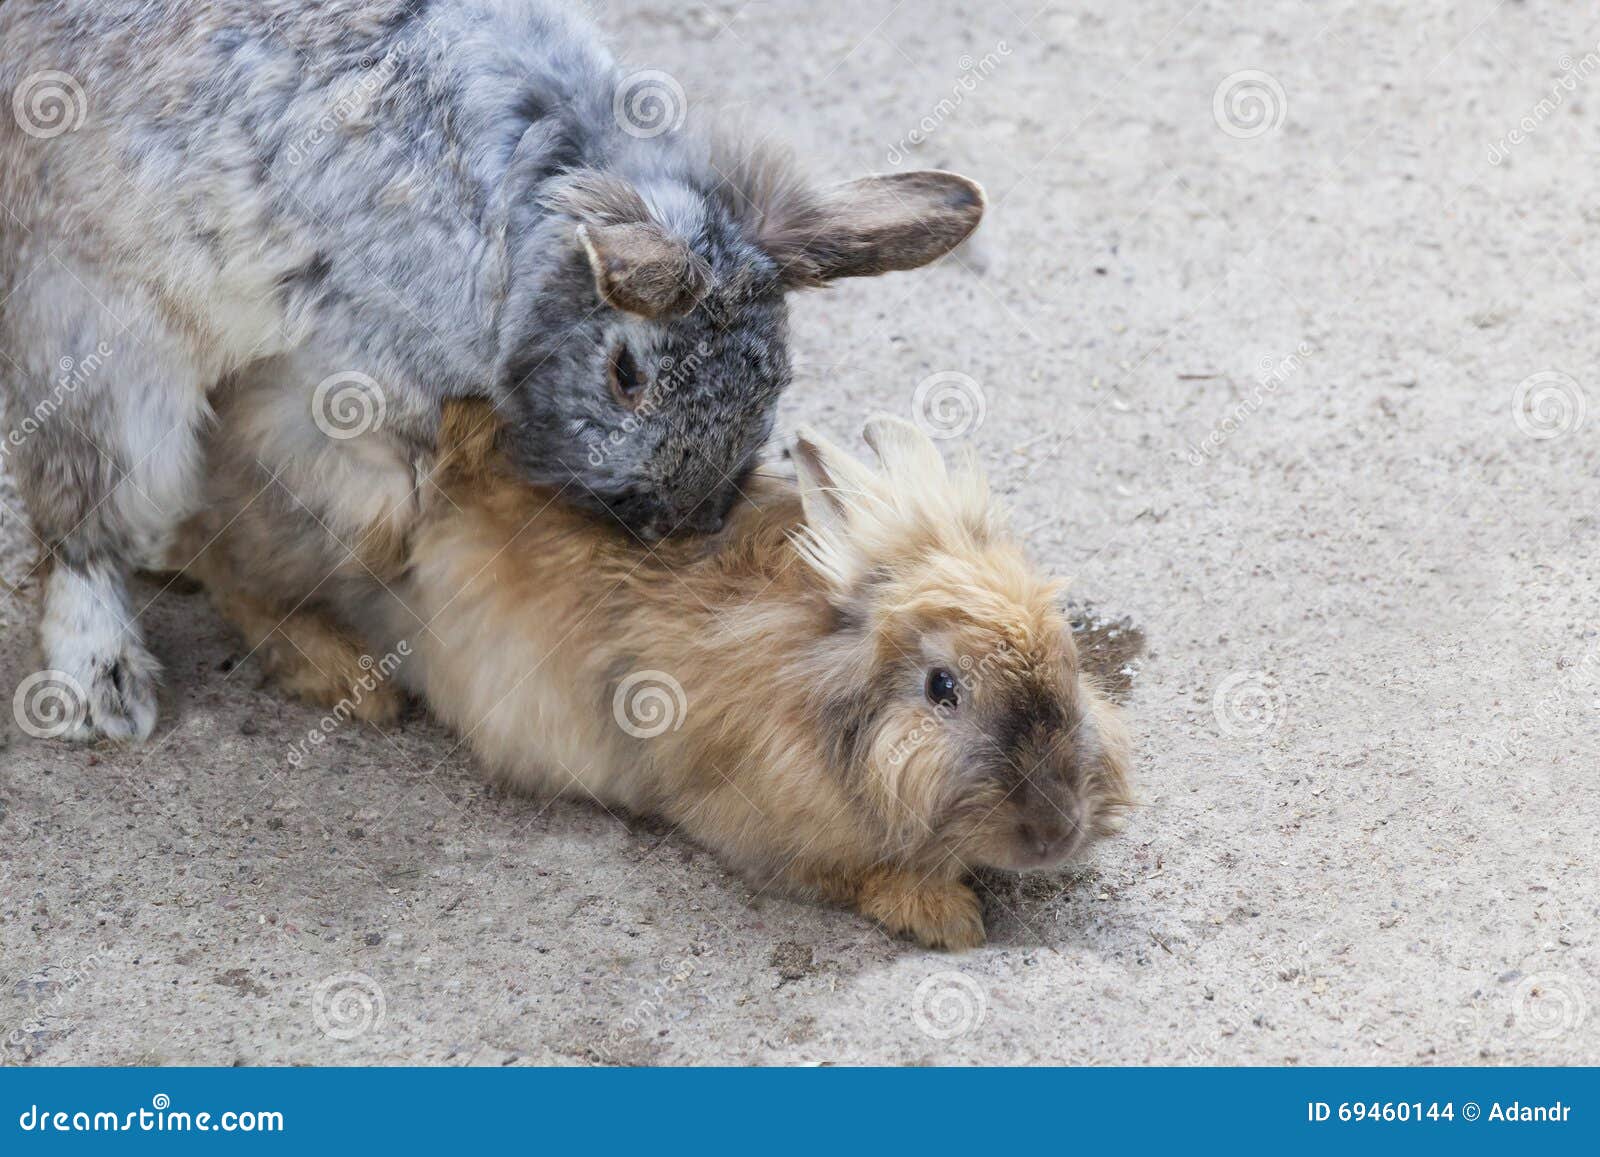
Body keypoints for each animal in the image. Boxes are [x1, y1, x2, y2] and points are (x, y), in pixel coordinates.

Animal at [0, 0, 983, 742]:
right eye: (627, 373)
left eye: (776, 378)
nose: (676, 524)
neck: (529, 229)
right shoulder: (344, 369)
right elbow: (365, 497)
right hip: (96, 338)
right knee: (82, 516)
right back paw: (102, 691)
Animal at [185, 398, 1134, 949]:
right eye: (943, 688)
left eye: (1070, 661)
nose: (1056, 829)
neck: (817, 681)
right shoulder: (748, 823)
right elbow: (851, 875)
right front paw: (947, 916)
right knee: (232, 576)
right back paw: (349, 677)